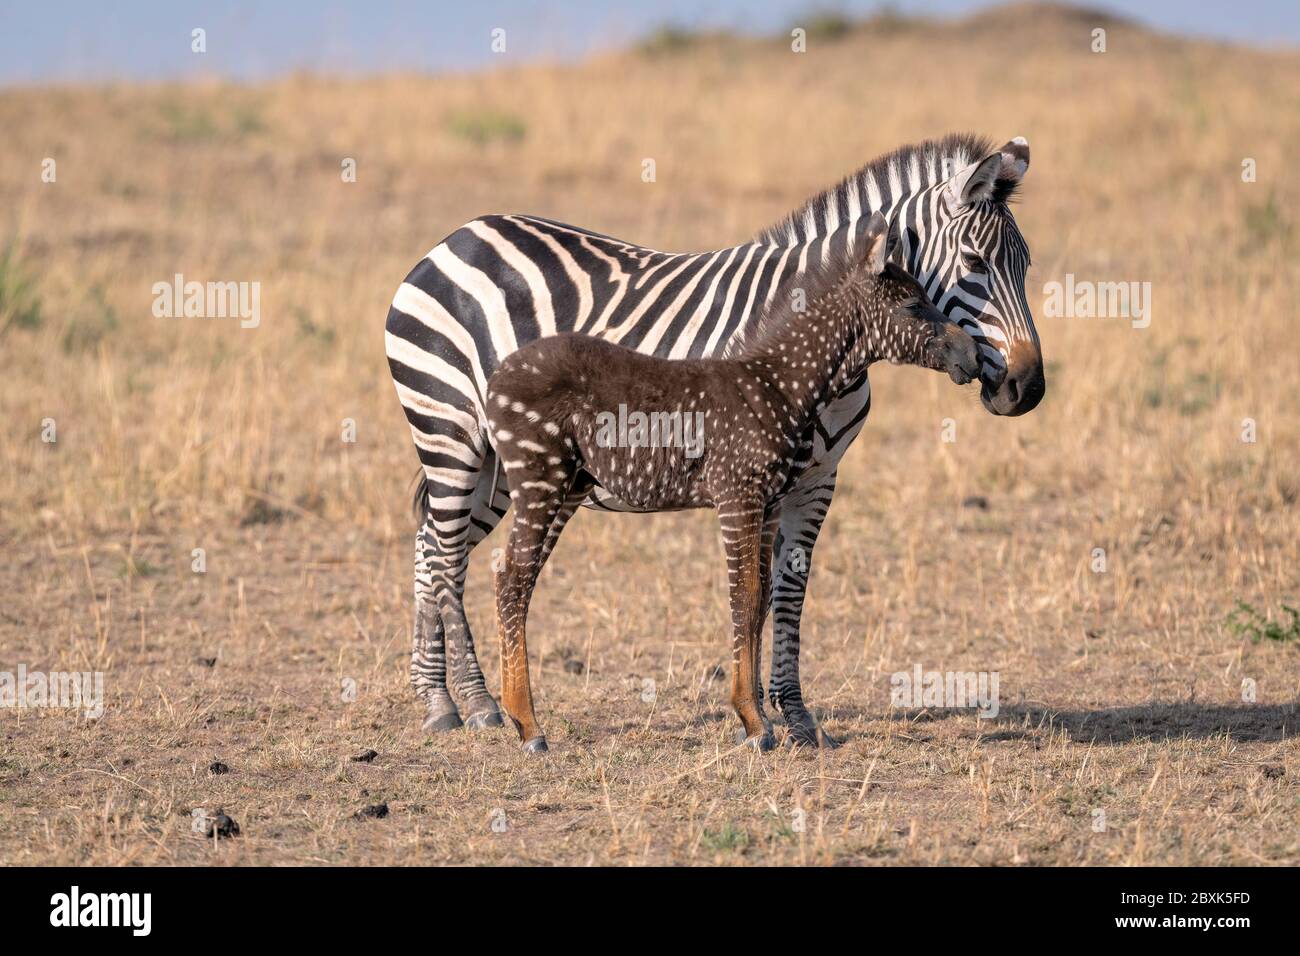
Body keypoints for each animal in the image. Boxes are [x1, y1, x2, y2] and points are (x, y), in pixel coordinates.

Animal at [384, 132, 1043, 747]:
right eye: (974, 263)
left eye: (1027, 266)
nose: (1026, 389)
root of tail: (460, 235)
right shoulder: (751, 485)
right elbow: (751, 594)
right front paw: (757, 716)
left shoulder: (814, 479)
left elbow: (785, 592)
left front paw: (792, 716)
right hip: (452, 434)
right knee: (447, 558)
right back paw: (475, 704)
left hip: (502, 469)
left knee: (429, 548)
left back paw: (438, 699)